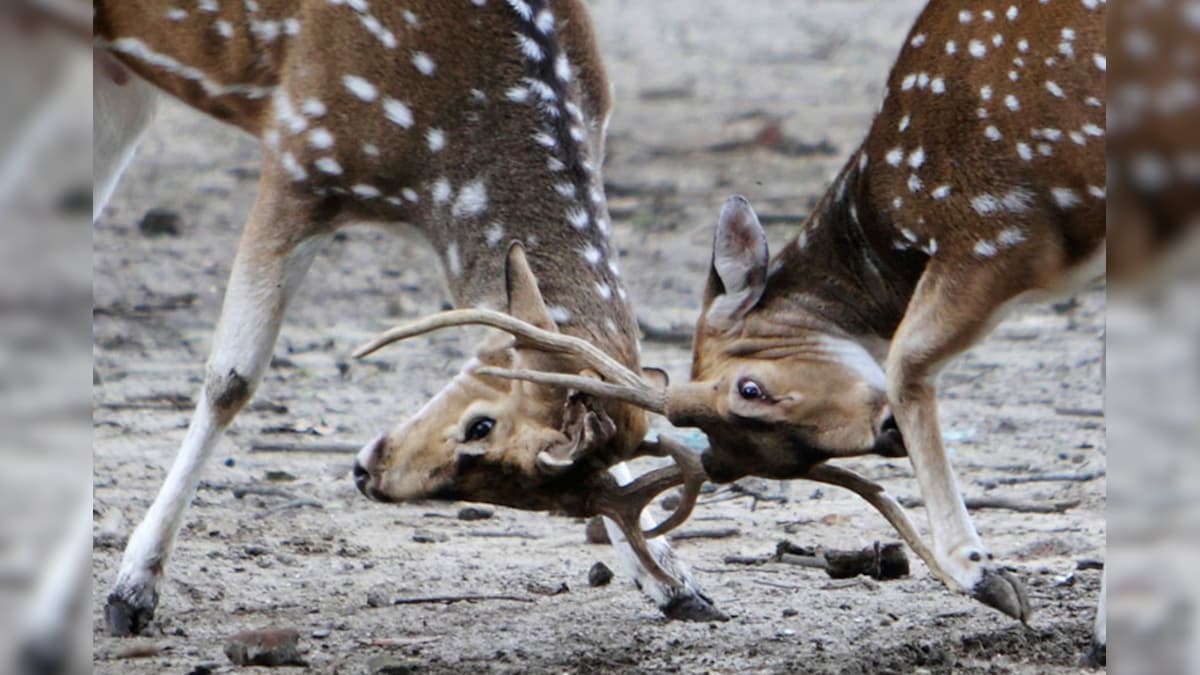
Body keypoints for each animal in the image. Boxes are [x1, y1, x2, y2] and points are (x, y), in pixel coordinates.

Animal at [93, 0, 723, 637]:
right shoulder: (301, 144)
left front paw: (675, 583)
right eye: (480, 425)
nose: (367, 471)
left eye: (554, 497)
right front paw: (132, 590)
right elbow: (231, 379)